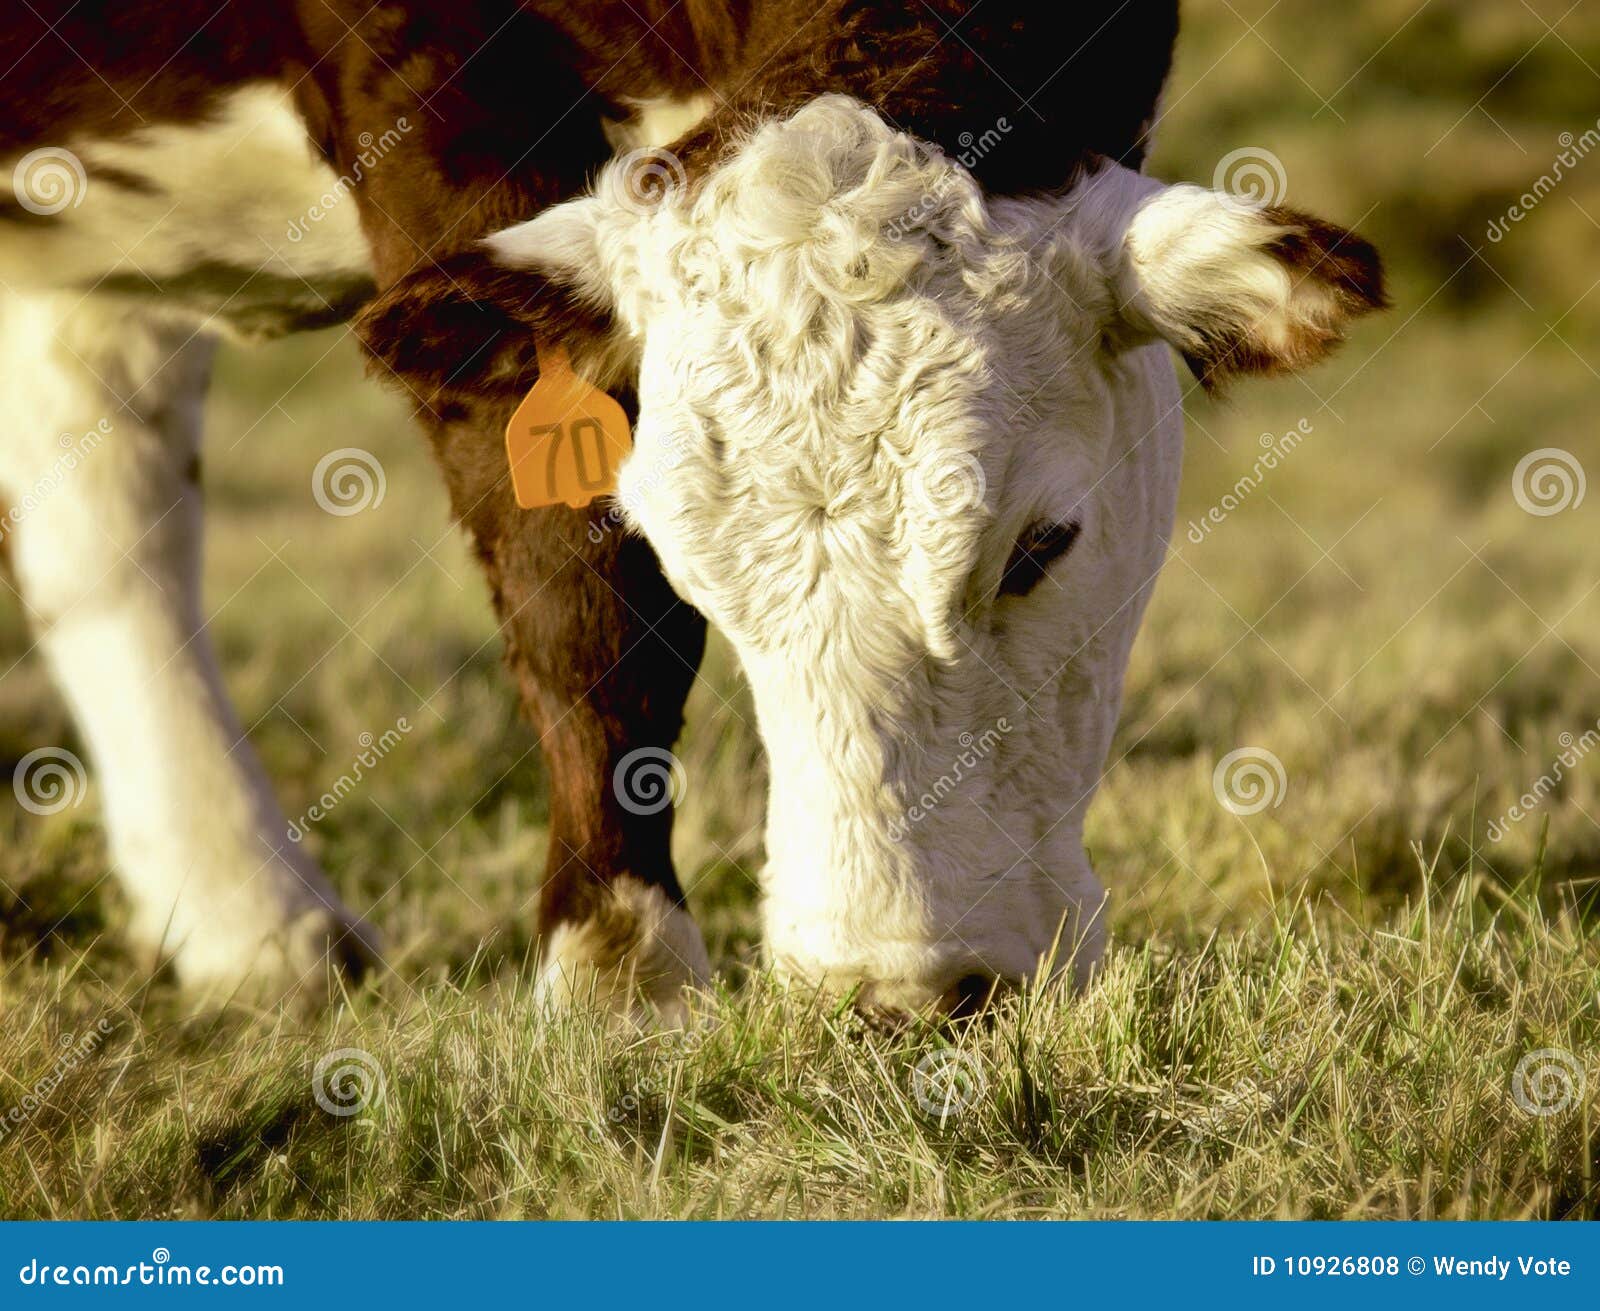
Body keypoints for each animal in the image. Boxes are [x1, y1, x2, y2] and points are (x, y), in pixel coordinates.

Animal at [0, 2, 1382, 1018]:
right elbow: (587, 604)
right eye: (687, 560)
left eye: (1041, 547)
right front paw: (621, 976)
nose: (895, 991)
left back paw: (252, 928)